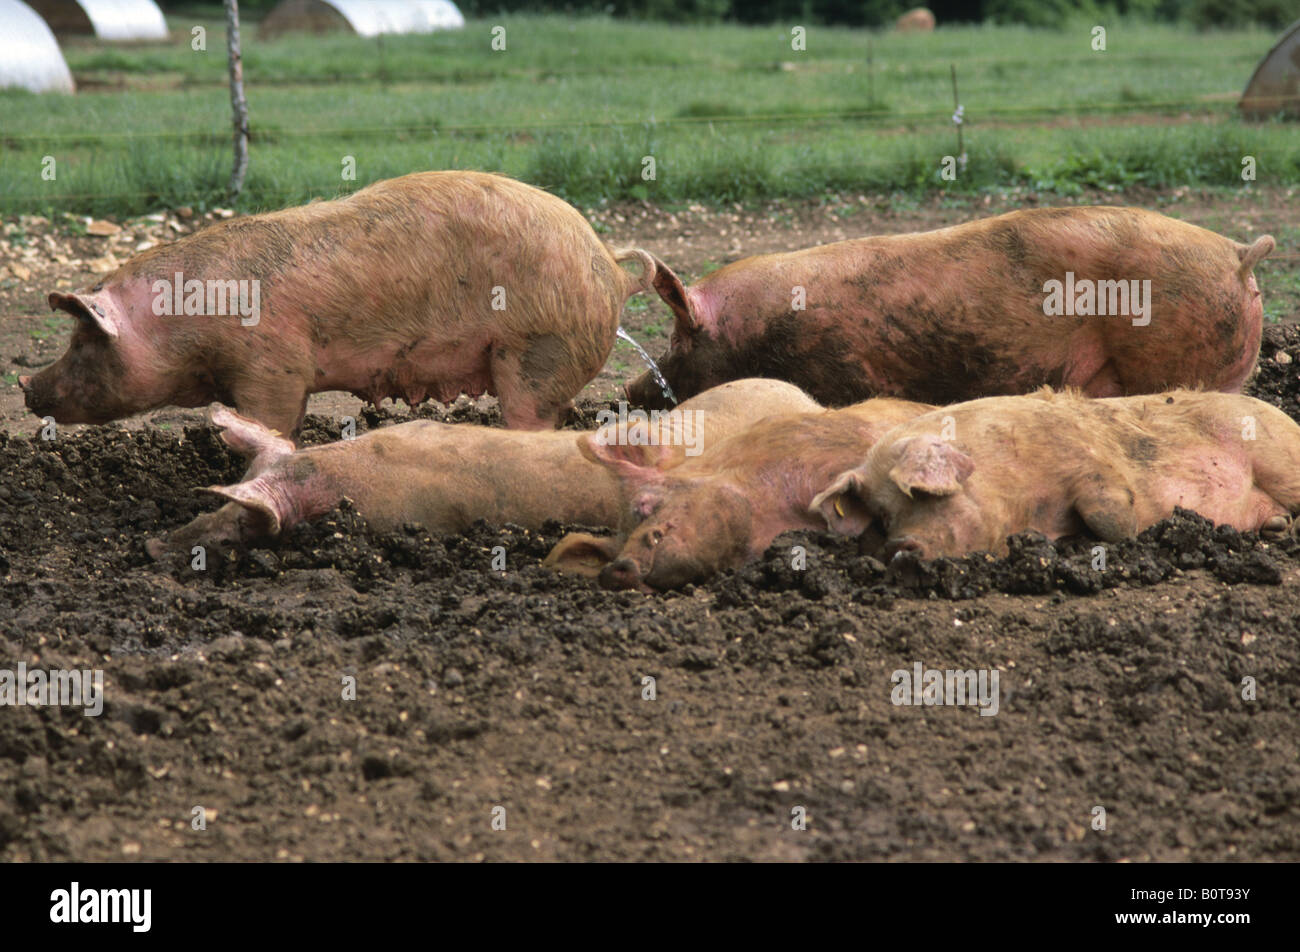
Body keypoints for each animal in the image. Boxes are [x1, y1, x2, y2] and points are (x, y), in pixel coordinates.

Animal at [21, 171, 655, 437]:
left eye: (82, 341)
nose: (25, 385)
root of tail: (609, 266)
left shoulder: (271, 365)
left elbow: (271, 422)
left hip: (537, 350)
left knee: (534, 421)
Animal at [811, 388, 1300, 562]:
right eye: (881, 516)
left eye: (921, 494)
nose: (897, 548)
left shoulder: (1090, 465)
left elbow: (1110, 517)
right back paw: (1275, 527)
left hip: (1279, 458)